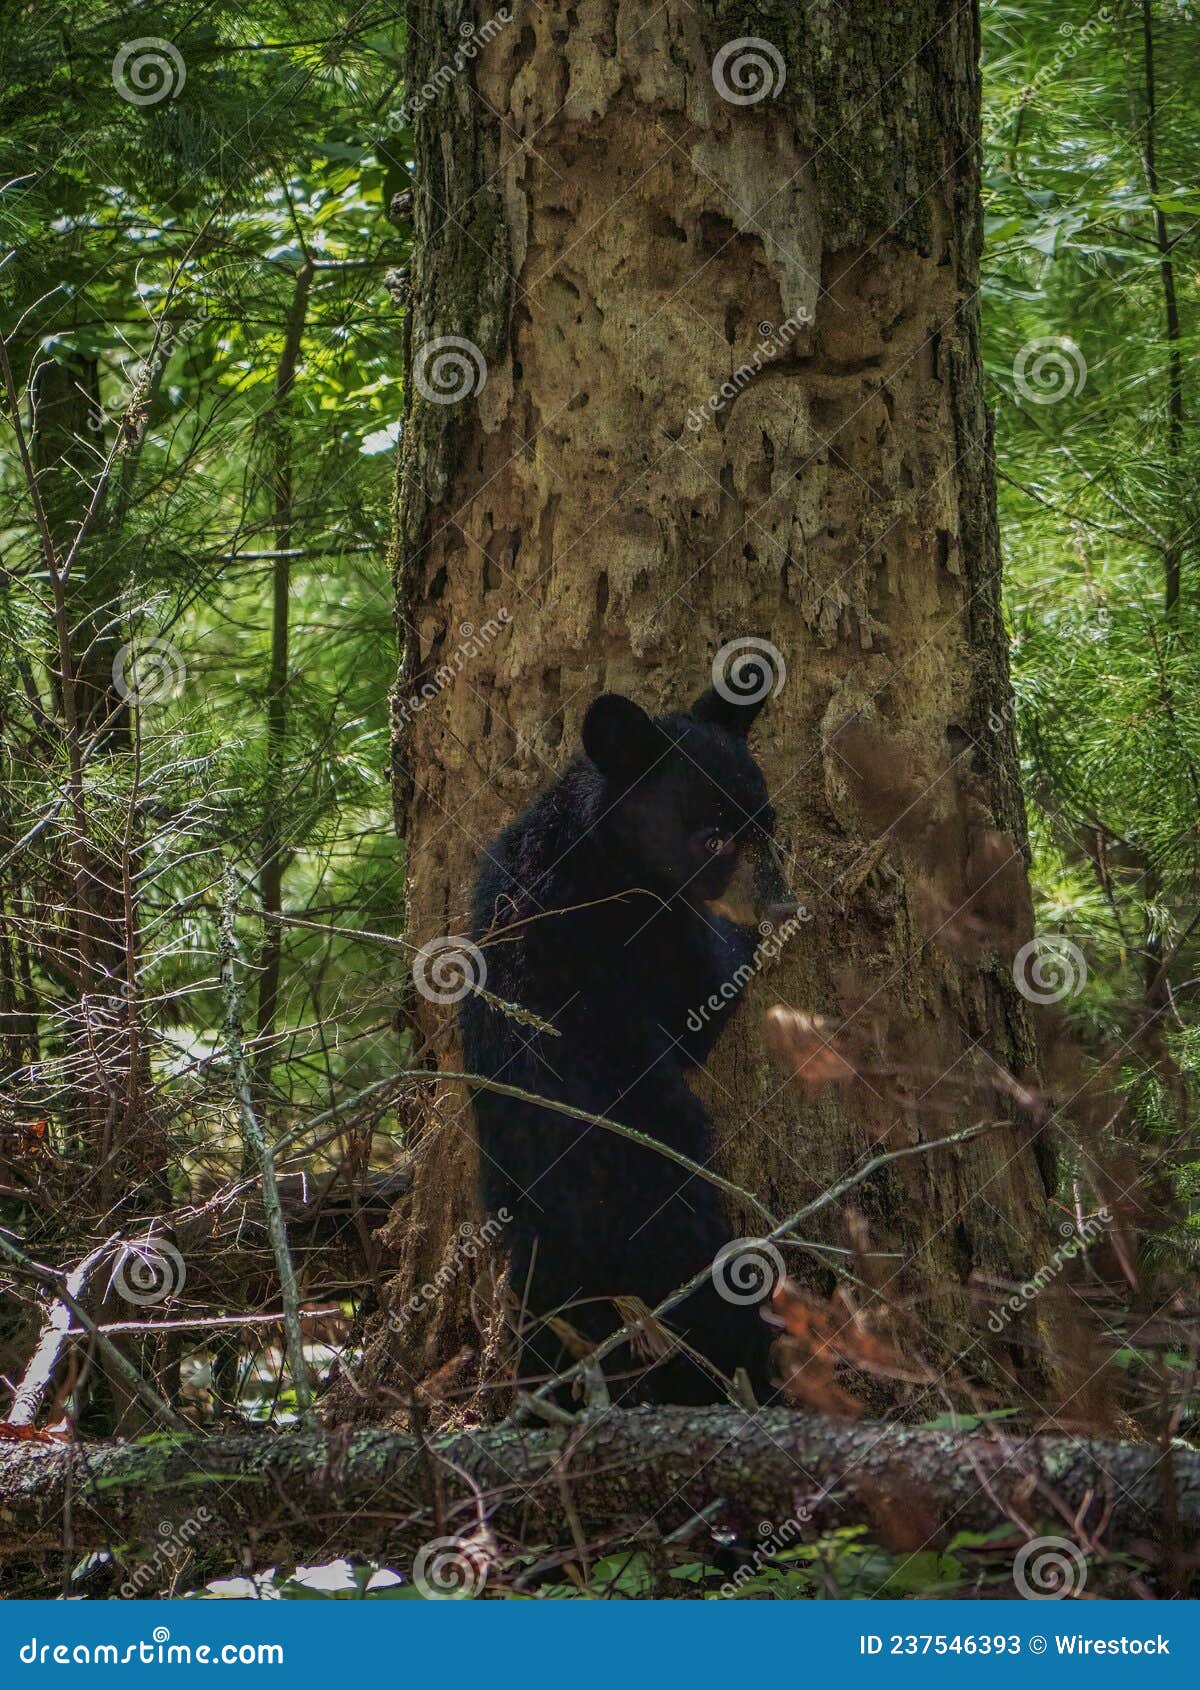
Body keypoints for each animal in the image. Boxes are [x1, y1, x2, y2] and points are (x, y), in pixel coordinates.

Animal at [458, 679, 793, 1405]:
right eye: (712, 837)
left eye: (767, 824)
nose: (779, 902)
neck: (592, 846)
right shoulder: (648, 937)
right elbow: (698, 1001)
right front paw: (752, 938)